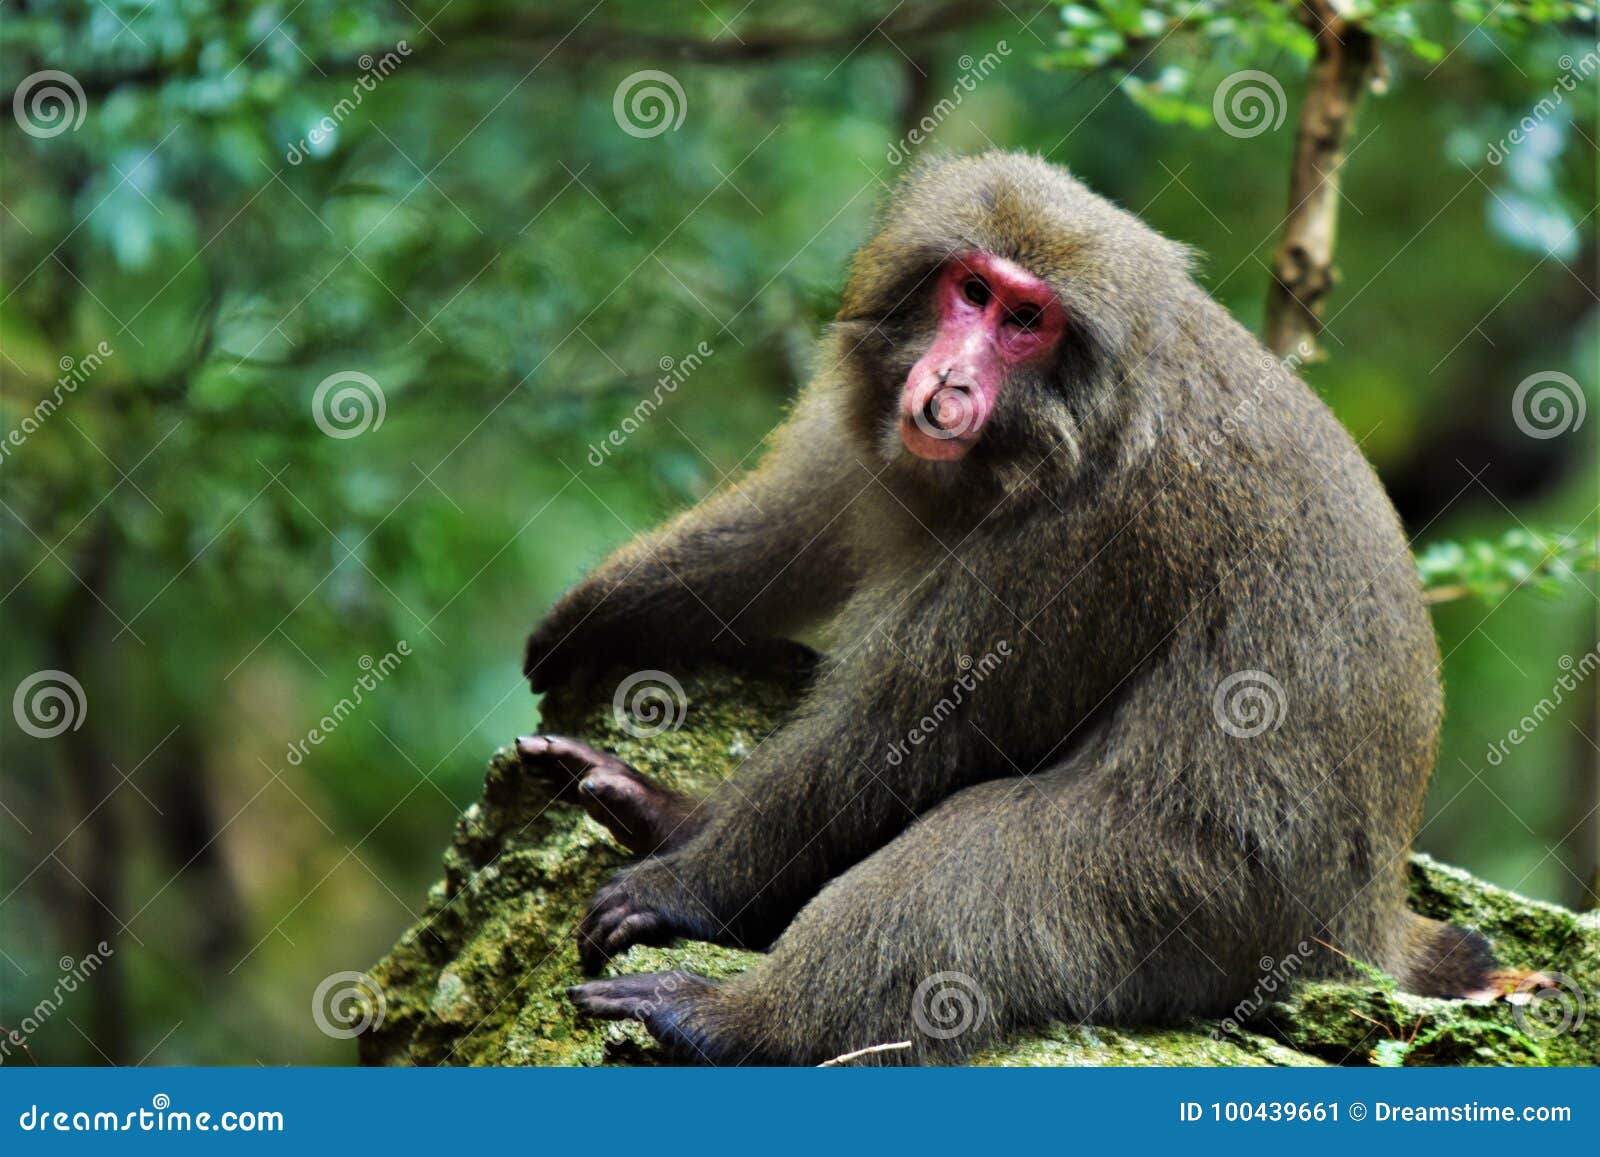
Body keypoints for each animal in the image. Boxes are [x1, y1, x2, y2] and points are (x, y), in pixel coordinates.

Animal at [516, 151, 1502, 1065]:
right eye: (975, 291)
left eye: (1027, 322)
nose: (950, 383)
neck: (1052, 431)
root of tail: (1369, 925)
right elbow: (804, 523)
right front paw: (608, 613)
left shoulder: (1086, 538)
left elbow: (899, 740)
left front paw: (687, 885)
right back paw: (665, 817)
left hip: (1218, 904)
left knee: (973, 861)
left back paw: (740, 1023)